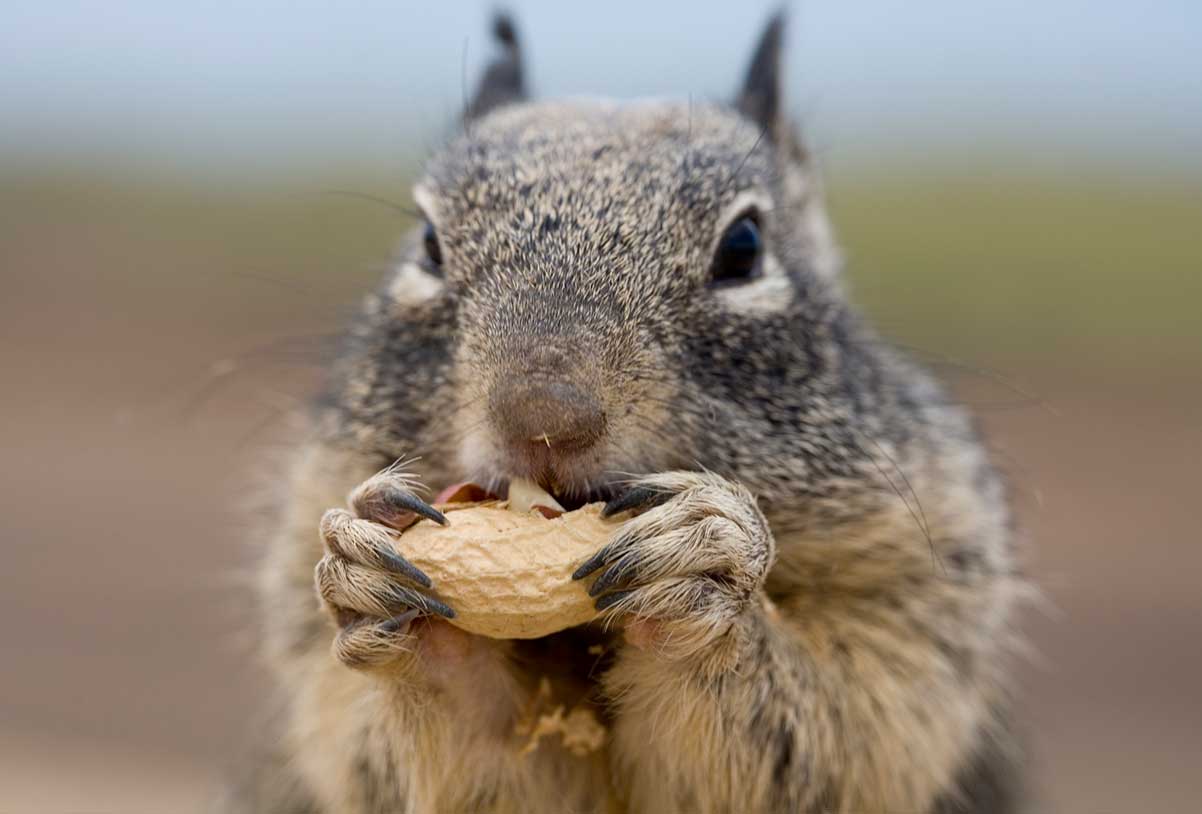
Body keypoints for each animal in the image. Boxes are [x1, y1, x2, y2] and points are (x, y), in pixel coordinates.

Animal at [222, 12, 1026, 814]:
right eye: (426, 242)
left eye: (745, 248)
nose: (544, 418)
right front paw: (382, 581)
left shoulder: (918, 585)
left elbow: (845, 735)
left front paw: (707, 564)